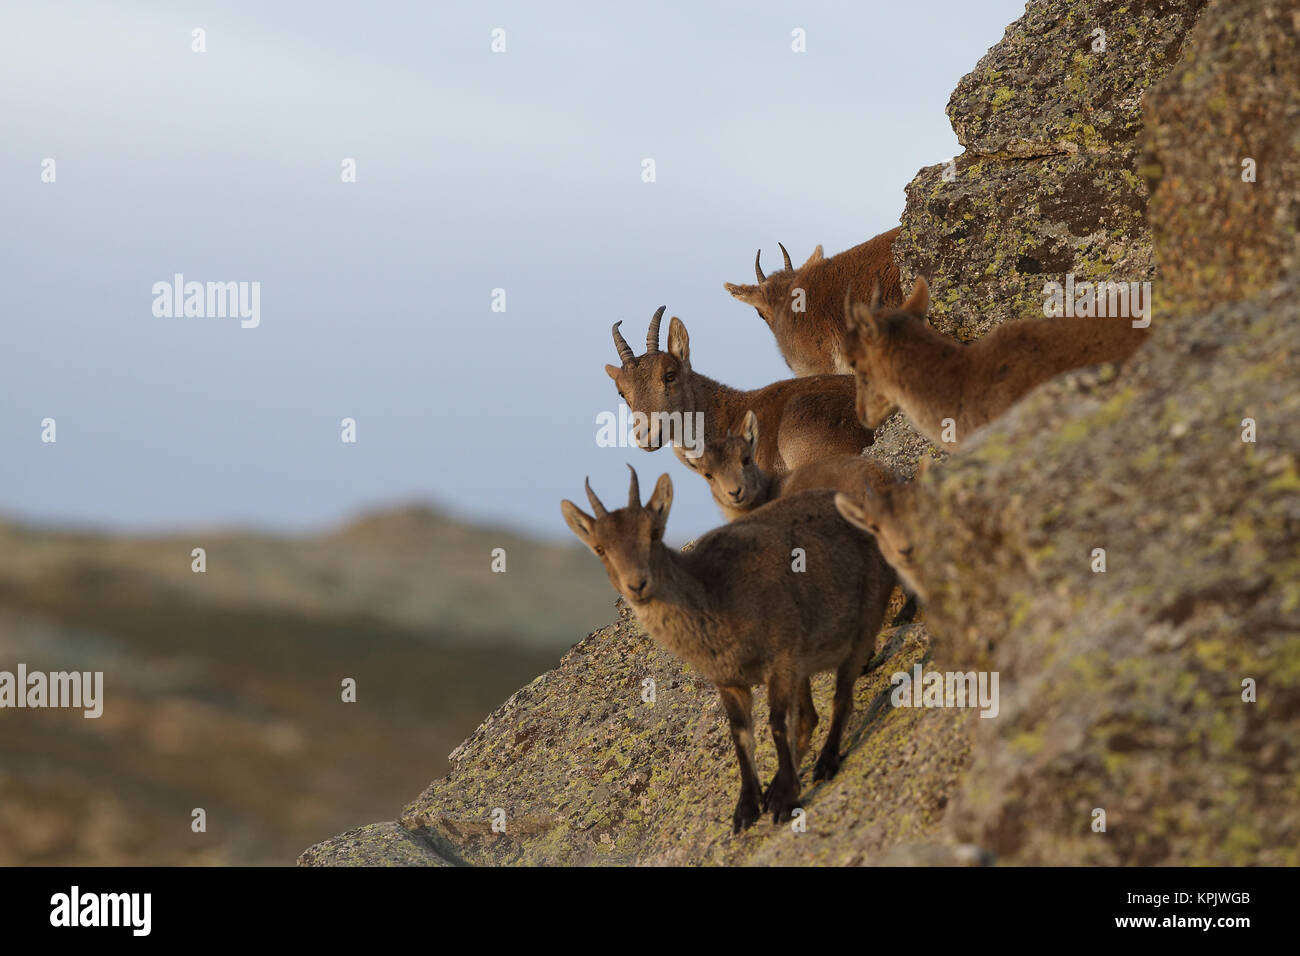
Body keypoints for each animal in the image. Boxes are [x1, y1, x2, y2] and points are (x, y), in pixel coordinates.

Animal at [561, 466, 895, 832]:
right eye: (600, 548)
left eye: (653, 533)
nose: (637, 585)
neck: (717, 595)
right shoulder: (728, 679)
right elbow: (741, 734)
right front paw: (747, 808)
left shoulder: (781, 659)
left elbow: (777, 723)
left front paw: (785, 801)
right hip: (804, 665)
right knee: (809, 715)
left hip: (863, 623)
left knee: (841, 698)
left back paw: (825, 762)